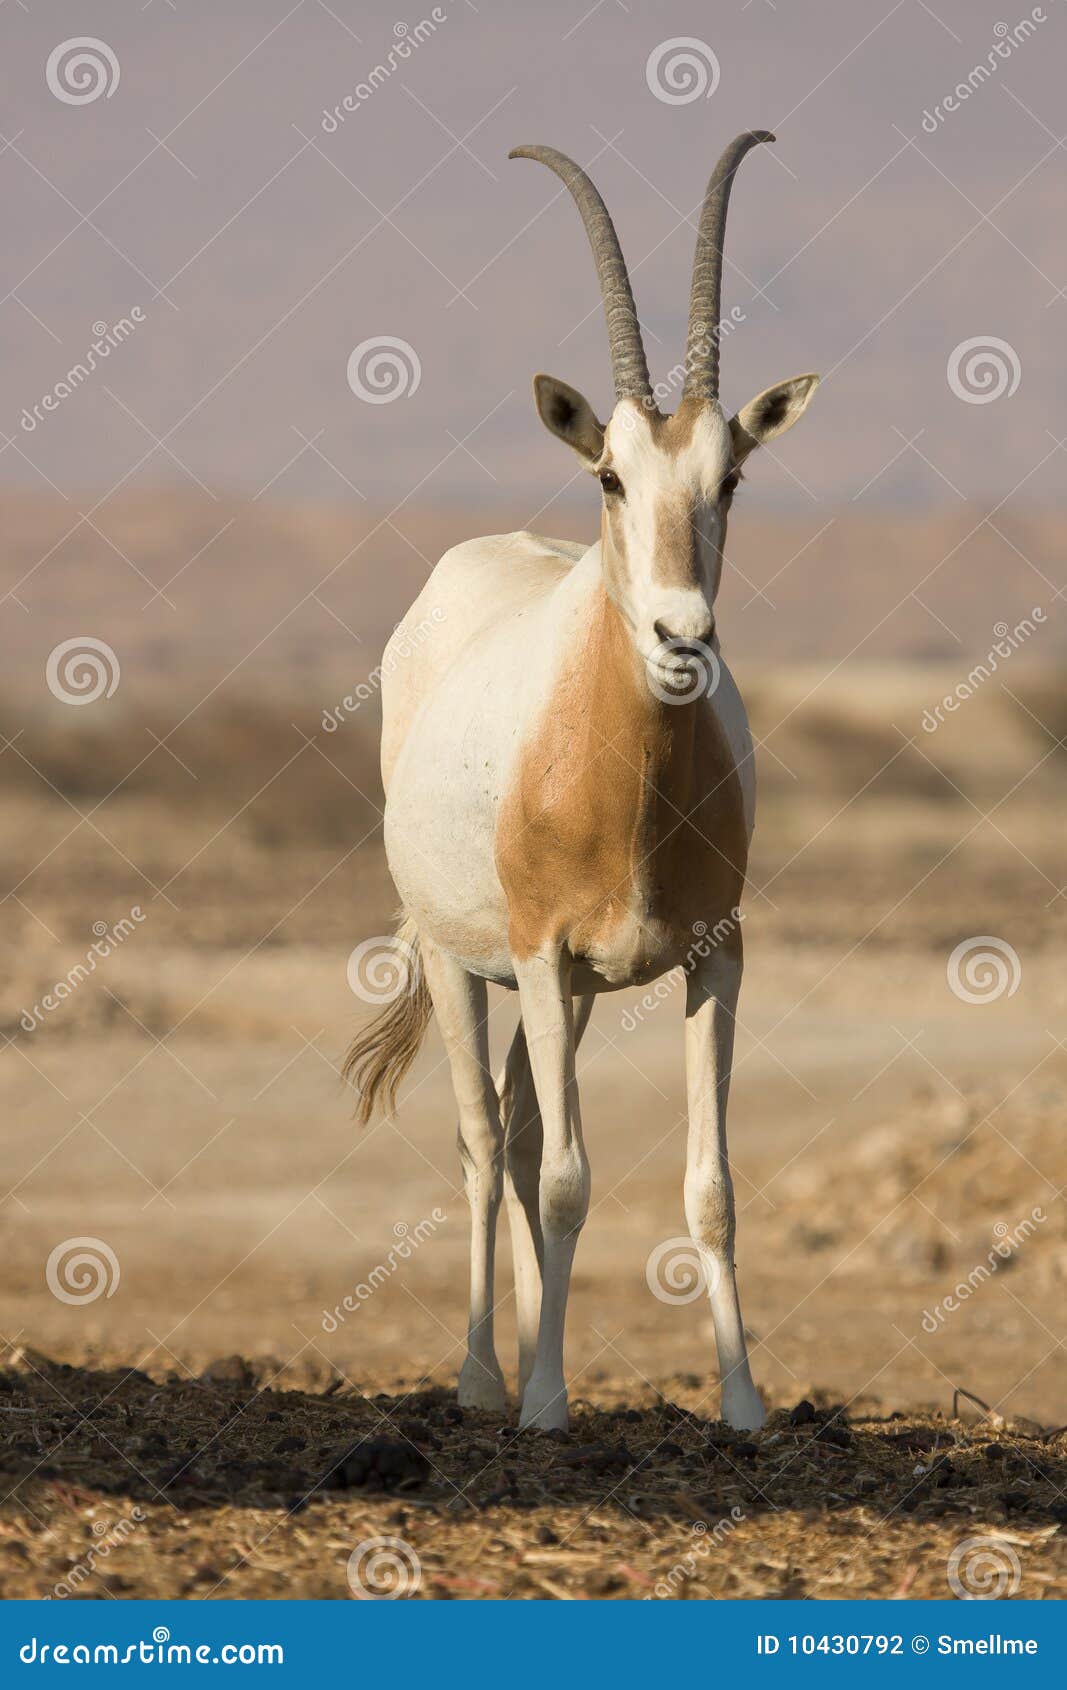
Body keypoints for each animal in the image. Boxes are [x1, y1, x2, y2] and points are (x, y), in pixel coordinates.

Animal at [346, 131, 819, 1431]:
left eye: (730, 478)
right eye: (609, 474)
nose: (681, 633)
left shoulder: (712, 953)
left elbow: (709, 1186)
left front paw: (743, 1404)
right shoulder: (545, 954)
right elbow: (563, 1178)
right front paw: (547, 1403)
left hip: (573, 988)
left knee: (513, 1129)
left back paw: (513, 1355)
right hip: (467, 960)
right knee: (481, 1140)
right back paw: (481, 1377)